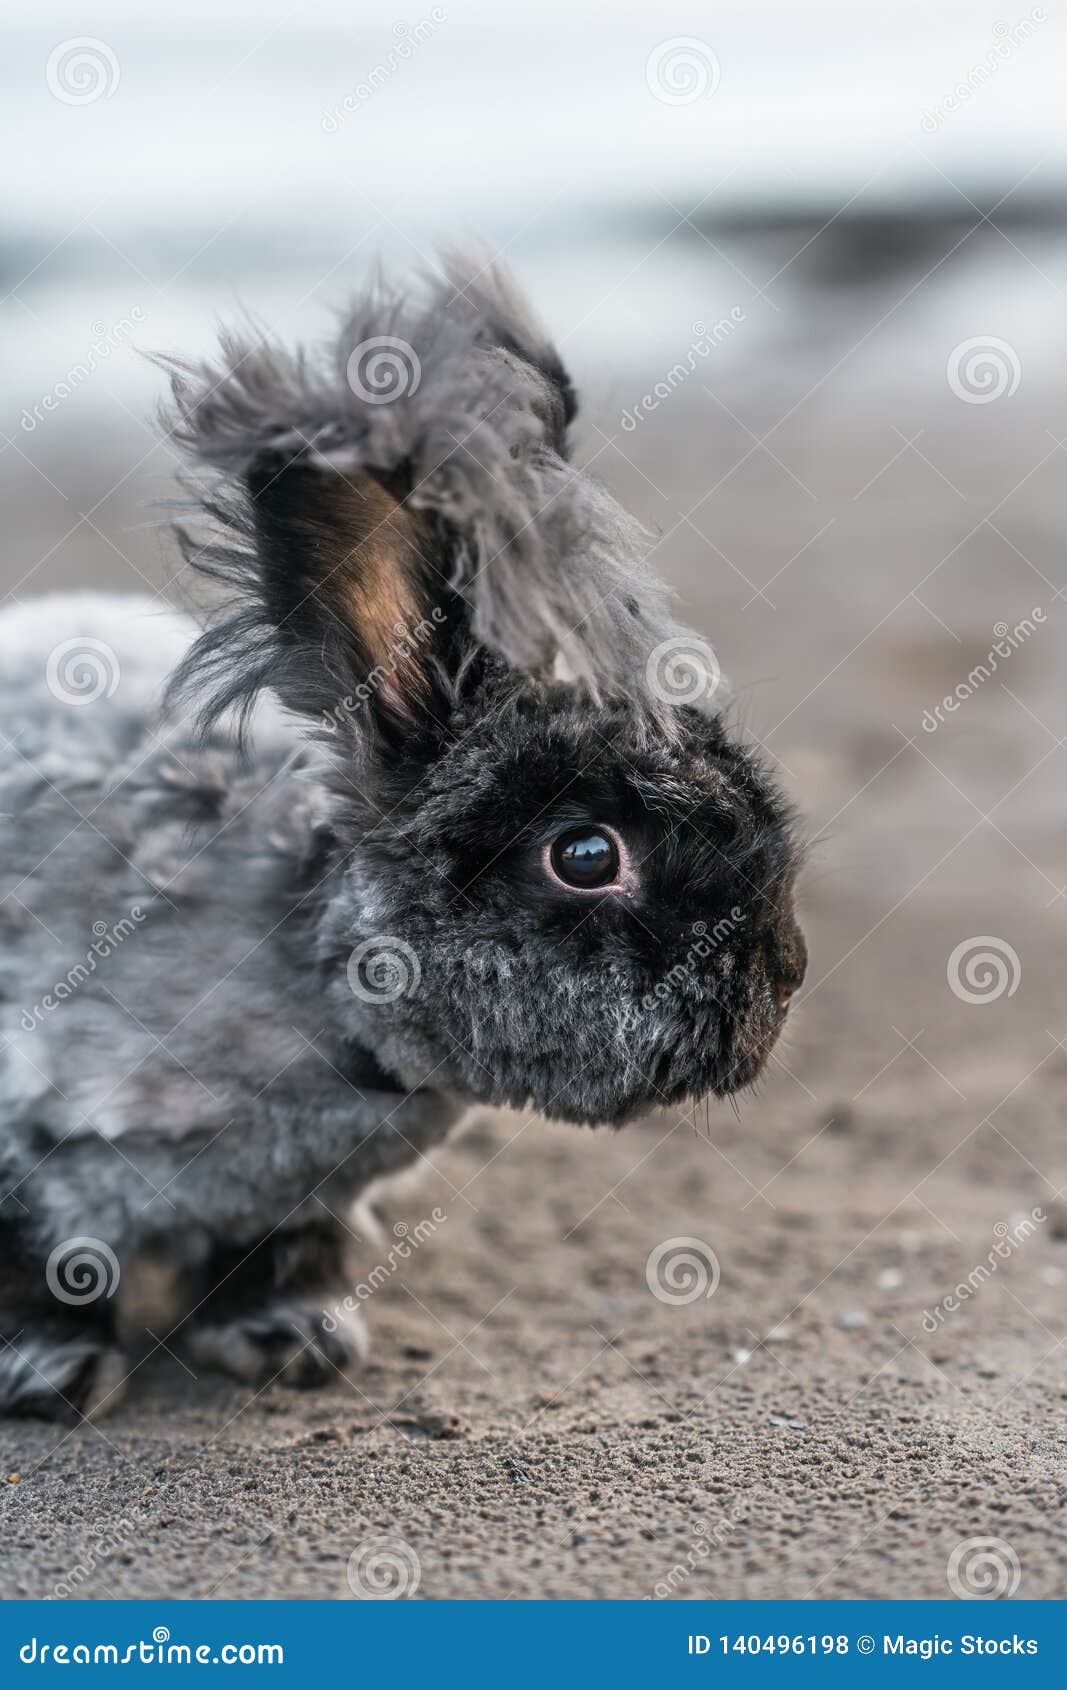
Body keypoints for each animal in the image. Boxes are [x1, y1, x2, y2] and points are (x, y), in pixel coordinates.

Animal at [0, 250, 806, 1421]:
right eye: (586, 855)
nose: (787, 968)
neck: (324, 980)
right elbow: (38, 1266)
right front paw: (51, 1376)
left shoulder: (289, 1203)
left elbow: (278, 1253)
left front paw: (291, 1342)